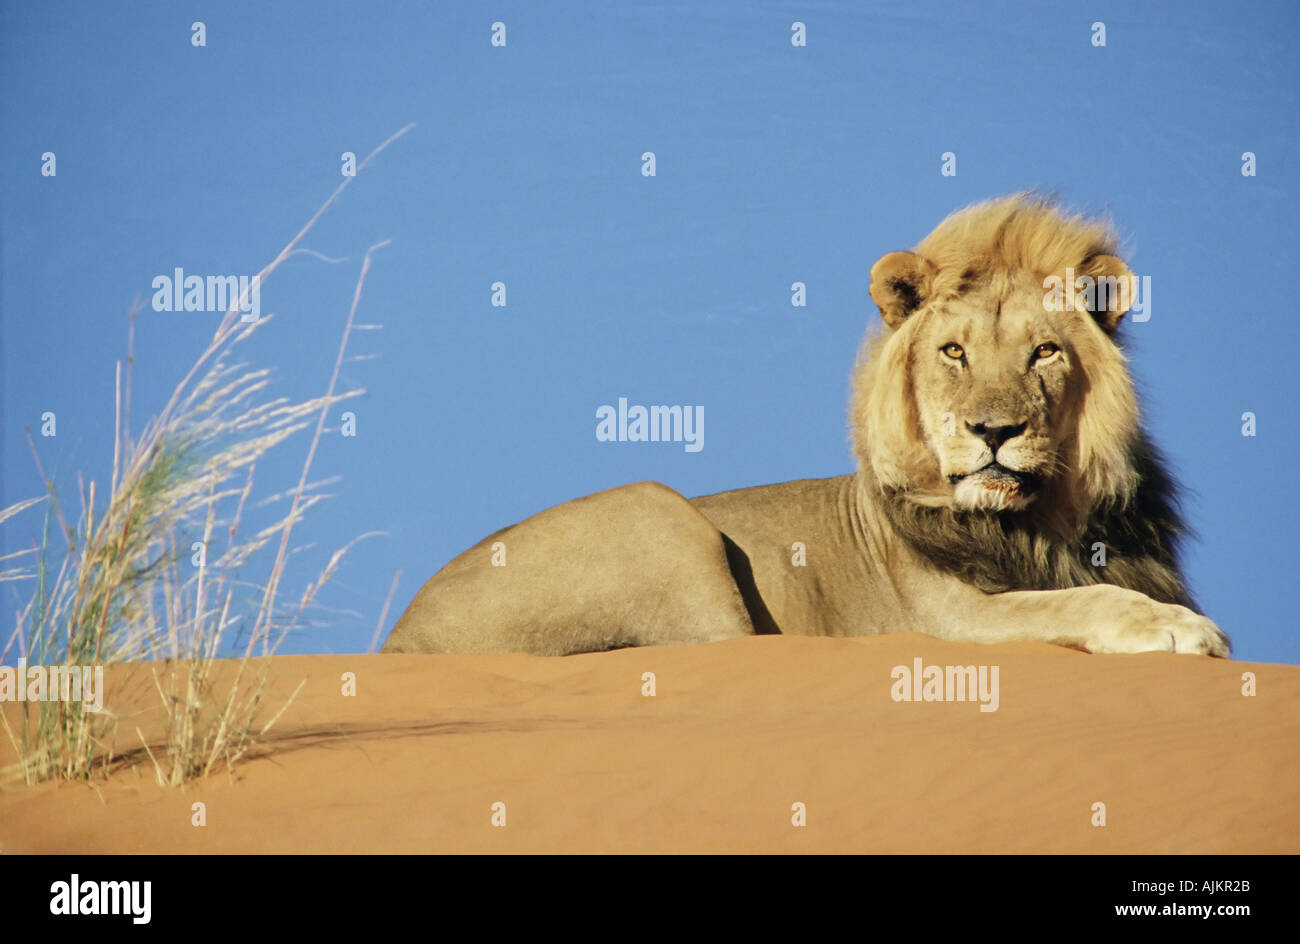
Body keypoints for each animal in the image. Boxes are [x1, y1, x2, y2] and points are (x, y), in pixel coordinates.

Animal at [384, 194, 1230, 658]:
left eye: (1045, 353)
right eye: (954, 352)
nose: (992, 432)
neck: (1044, 524)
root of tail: (395, 639)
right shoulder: (948, 618)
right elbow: (1081, 601)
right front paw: (1185, 630)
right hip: (658, 511)